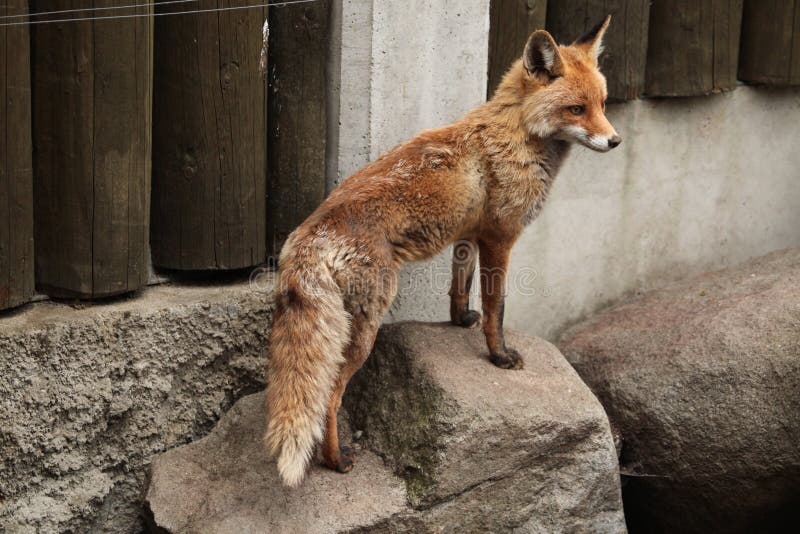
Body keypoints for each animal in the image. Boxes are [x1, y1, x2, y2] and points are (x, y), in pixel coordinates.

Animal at [265, 16, 621, 487]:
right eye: (576, 110)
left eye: (602, 103)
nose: (616, 141)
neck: (517, 135)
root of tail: (309, 233)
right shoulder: (500, 236)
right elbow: (497, 307)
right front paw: (499, 356)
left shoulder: (468, 235)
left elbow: (459, 286)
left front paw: (459, 320)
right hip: (362, 328)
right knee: (330, 394)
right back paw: (336, 459)